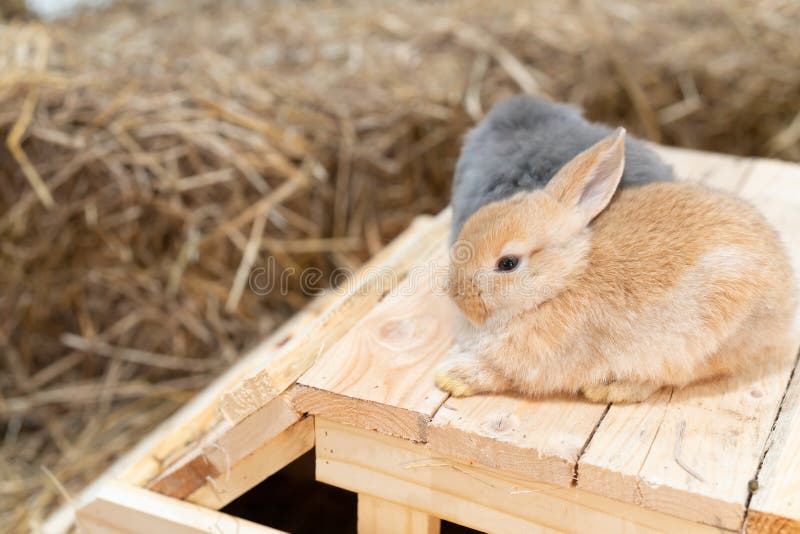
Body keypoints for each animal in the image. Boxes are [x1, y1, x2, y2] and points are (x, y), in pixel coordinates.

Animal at [436, 128, 797, 403]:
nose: (457, 296)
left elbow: (498, 374)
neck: (565, 279)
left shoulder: (535, 365)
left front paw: (450, 376)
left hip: (704, 338)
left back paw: (609, 389)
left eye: (508, 263)